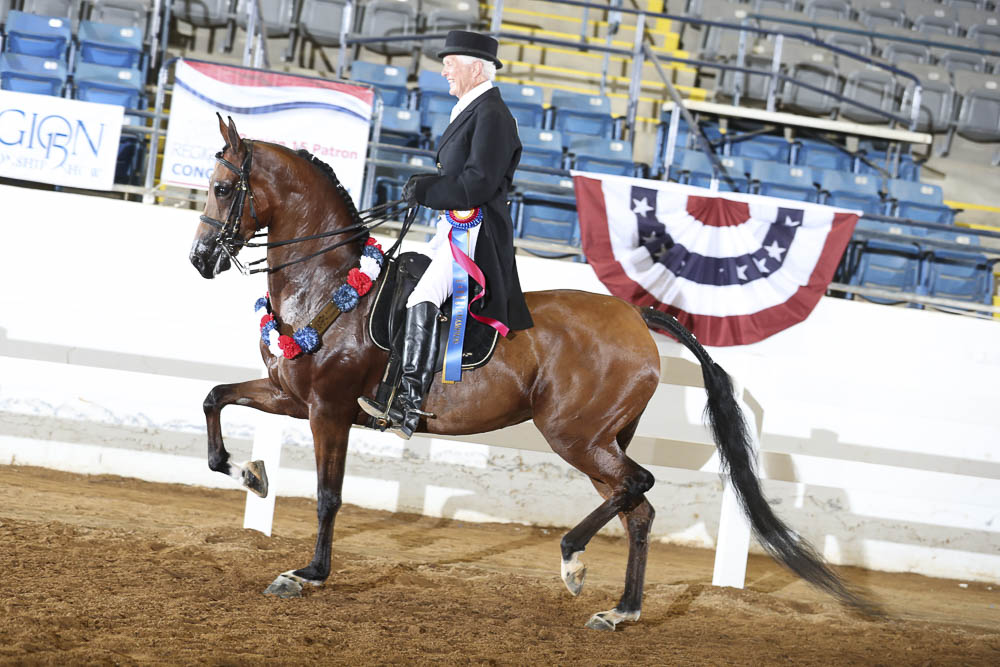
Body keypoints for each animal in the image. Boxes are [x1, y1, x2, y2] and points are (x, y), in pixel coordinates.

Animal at [189, 116, 875, 631]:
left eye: (223, 189)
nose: (199, 260)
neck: (328, 283)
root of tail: (638, 317)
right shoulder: (289, 395)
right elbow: (214, 398)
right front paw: (248, 473)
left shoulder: (328, 409)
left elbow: (328, 497)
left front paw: (306, 574)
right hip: (598, 441)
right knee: (638, 508)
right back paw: (621, 611)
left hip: (576, 436)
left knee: (639, 486)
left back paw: (574, 561)